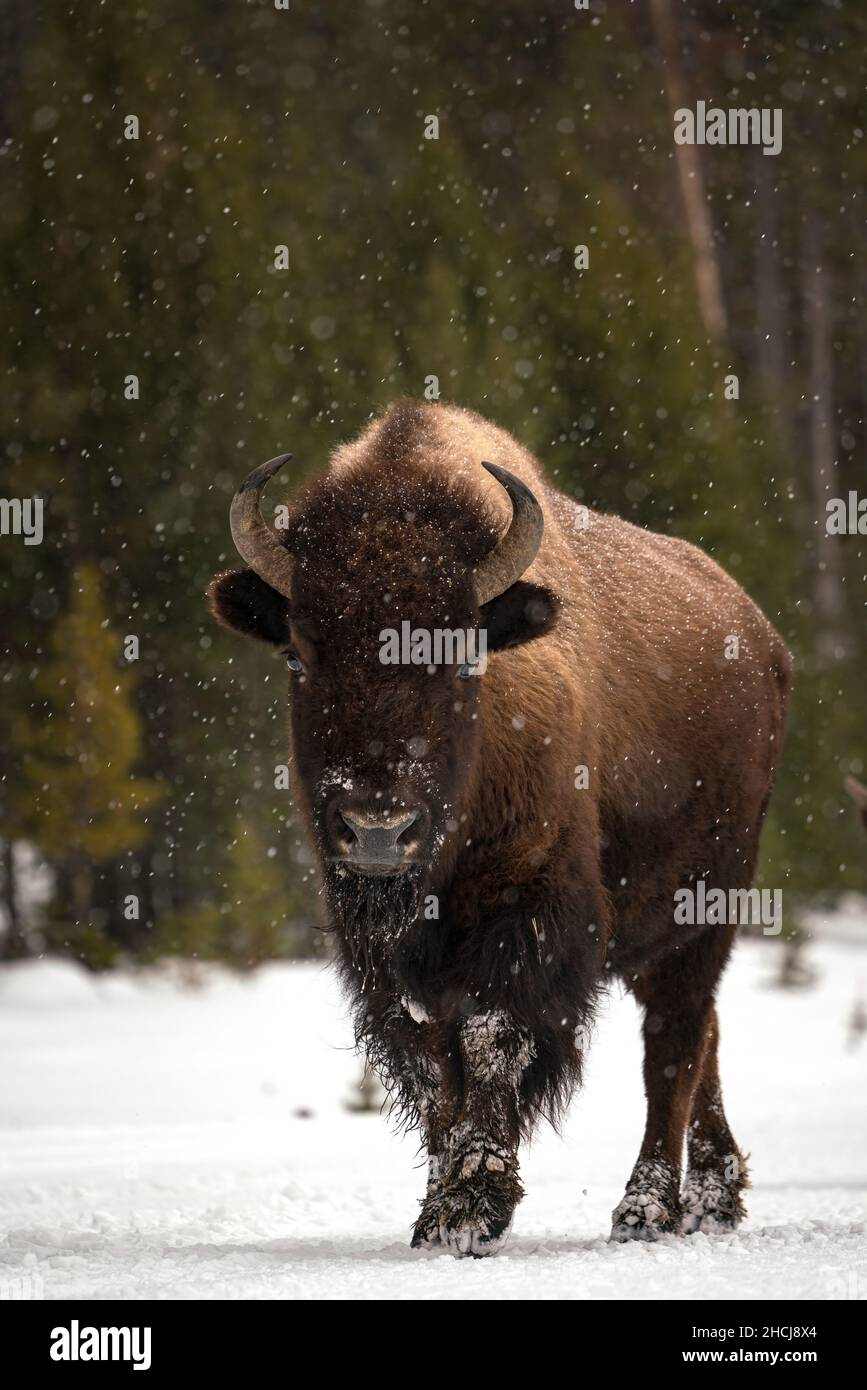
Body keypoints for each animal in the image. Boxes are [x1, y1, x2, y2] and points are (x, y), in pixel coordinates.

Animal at [210, 399, 791, 1255]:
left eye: (460, 653)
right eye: (301, 650)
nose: (378, 830)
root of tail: (759, 640)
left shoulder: (529, 908)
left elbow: (491, 1037)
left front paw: (470, 1206)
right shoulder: (381, 949)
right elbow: (426, 1059)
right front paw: (435, 1211)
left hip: (706, 908)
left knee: (673, 1043)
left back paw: (644, 1211)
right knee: (701, 1035)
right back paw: (712, 1199)